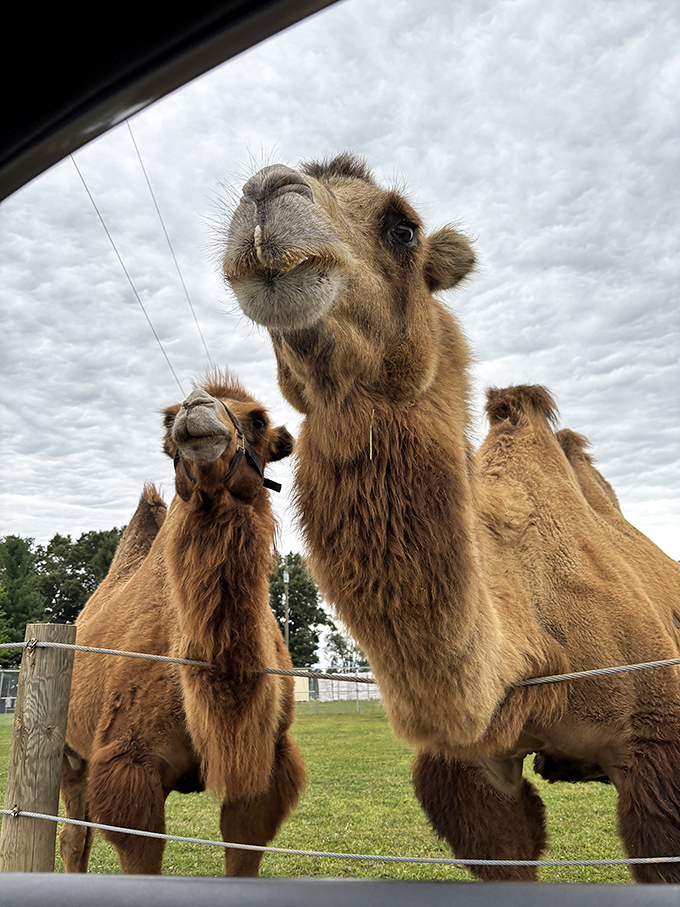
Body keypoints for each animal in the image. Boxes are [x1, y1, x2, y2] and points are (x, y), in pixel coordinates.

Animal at [60, 371, 306, 876]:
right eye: (171, 418)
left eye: (259, 419)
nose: (196, 408)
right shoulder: (129, 768)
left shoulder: (264, 771)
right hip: (71, 754)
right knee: (74, 835)